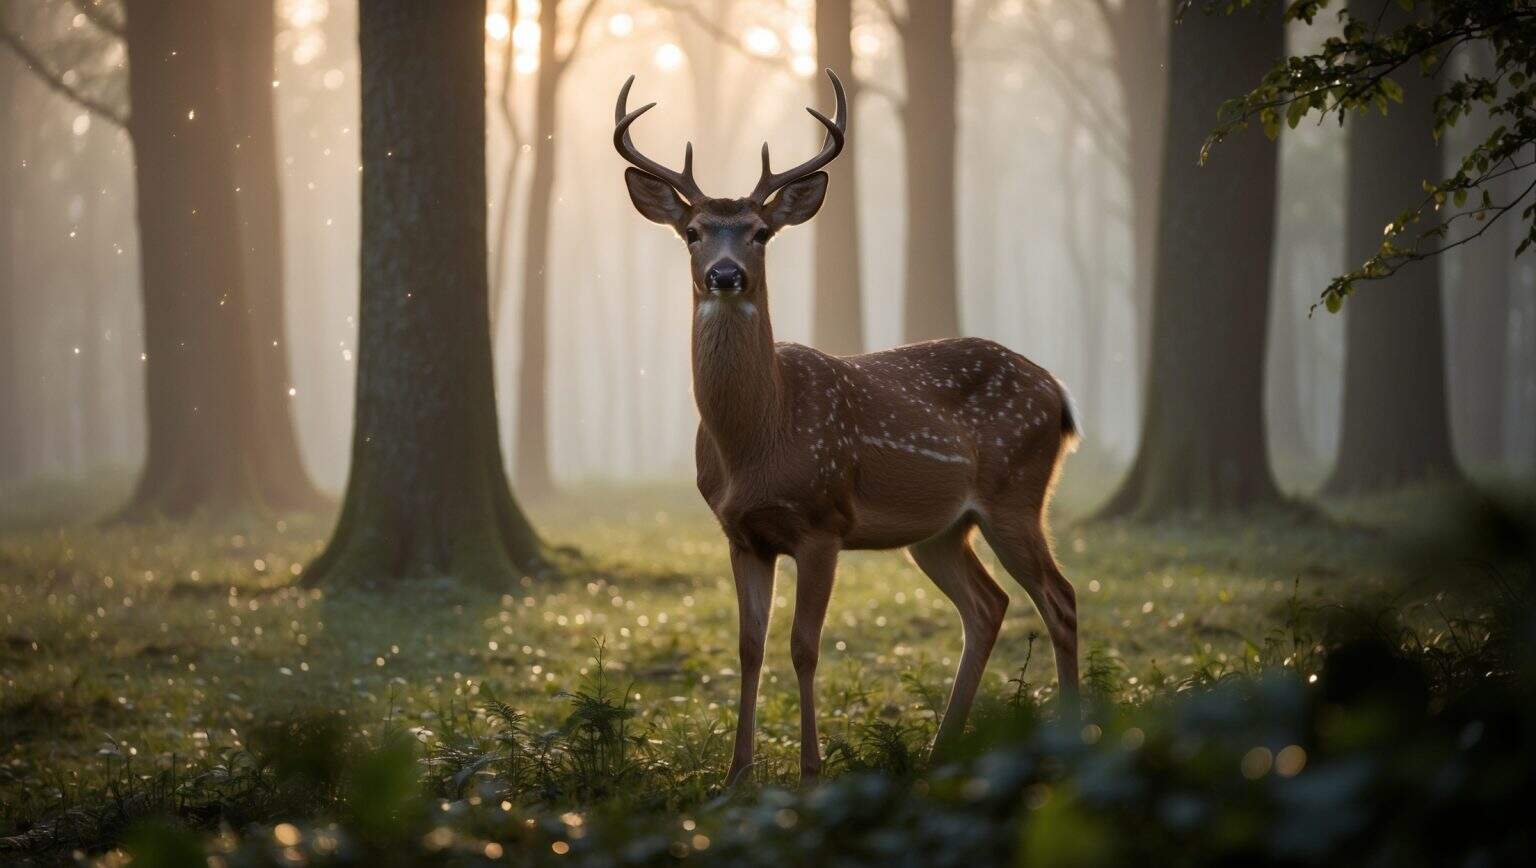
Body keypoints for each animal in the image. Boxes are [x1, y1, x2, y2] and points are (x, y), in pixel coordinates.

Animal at [614, 70, 1081, 786]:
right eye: (692, 231)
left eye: (761, 232)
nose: (726, 275)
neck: (757, 440)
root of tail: (1057, 392)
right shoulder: (740, 533)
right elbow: (749, 646)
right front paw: (736, 775)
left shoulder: (823, 521)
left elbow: (804, 646)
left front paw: (810, 769)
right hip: (941, 529)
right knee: (988, 605)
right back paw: (942, 749)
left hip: (1016, 495)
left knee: (1060, 598)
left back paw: (1077, 738)